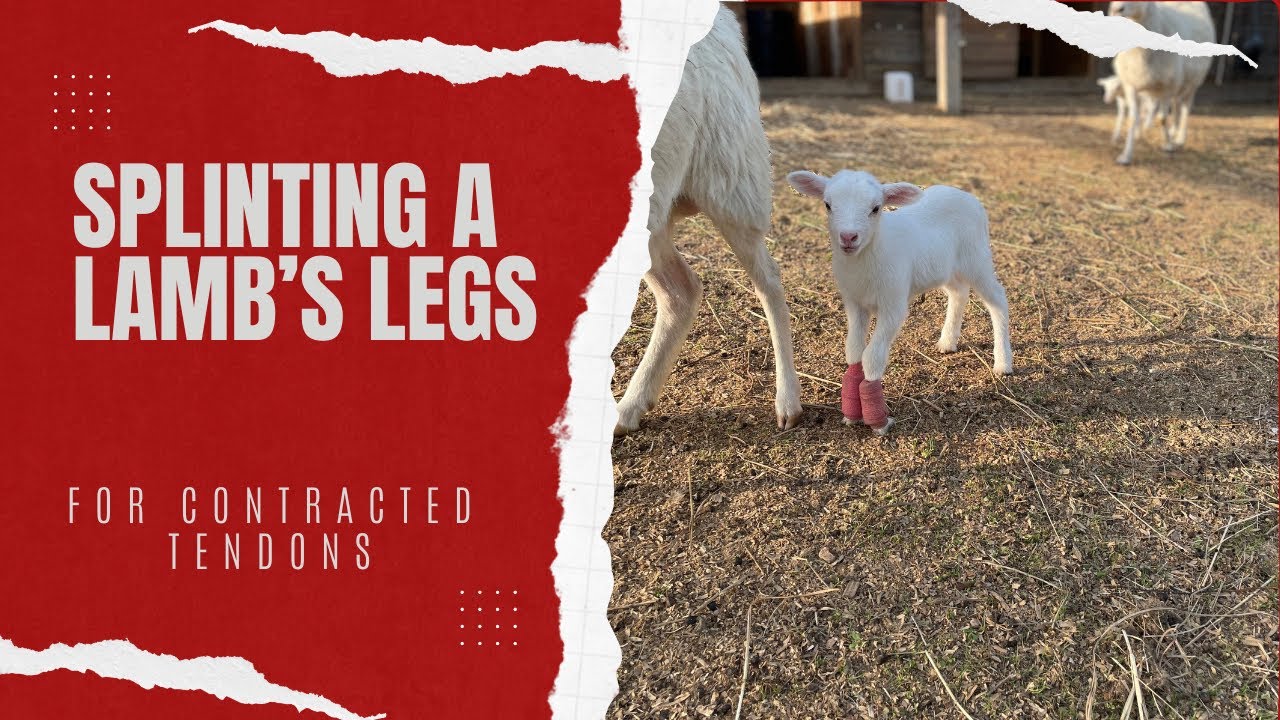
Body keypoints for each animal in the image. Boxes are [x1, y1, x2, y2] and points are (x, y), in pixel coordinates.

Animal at [786, 169, 1012, 435]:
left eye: (876, 208)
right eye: (827, 204)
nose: (848, 237)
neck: (867, 257)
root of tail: (967, 196)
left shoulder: (893, 305)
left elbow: (872, 357)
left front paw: (878, 422)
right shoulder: (854, 304)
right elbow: (854, 350)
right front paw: (852, 414)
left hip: (977, 259)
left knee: (998, 300)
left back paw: (1003, 362)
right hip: (945, 268)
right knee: (959, 293)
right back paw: (948, 341)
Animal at [1109, 1, 1215, 165]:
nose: (1116, 10)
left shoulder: (1168, 87)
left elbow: (1162, 118)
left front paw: (1168, 146)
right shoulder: (1131, 85)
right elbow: (1133, 119)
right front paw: (1126, 156)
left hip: (1191, 83)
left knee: (1185, 108)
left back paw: (1179, 138)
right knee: (1176, 105)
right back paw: (1172, 131)